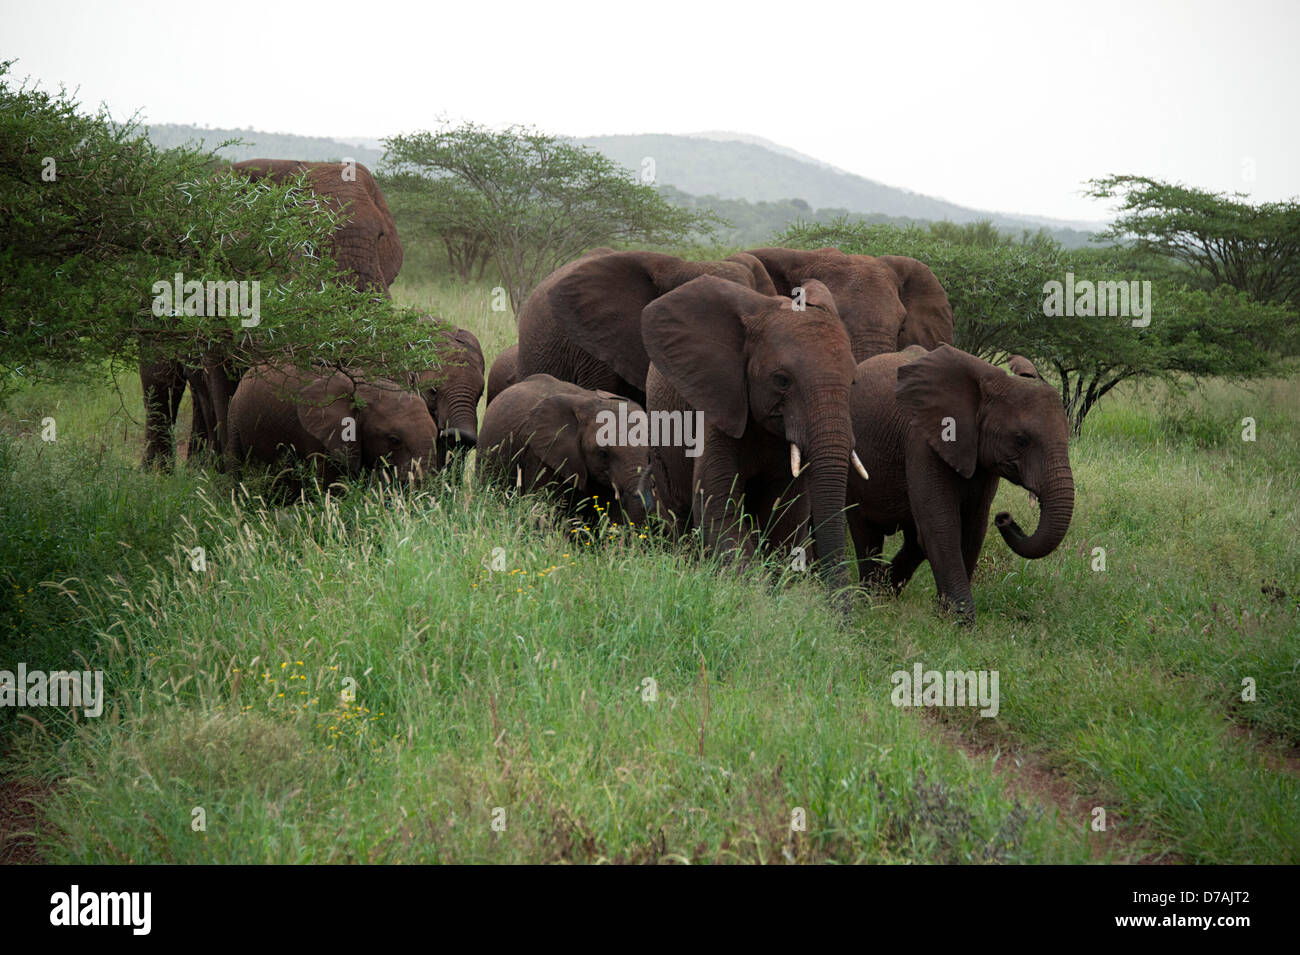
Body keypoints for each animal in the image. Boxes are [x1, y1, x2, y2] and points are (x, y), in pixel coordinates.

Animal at [140, 159, 402, 469]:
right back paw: (159, 472)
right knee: (161, 380)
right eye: (307, 235)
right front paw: (230, 471)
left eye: (380, 236)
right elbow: (221, 374)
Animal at [642, 276, 865, 604]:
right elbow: (720, 511)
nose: (842, 614)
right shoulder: (720, 402)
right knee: (678, 514)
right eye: (782, 380)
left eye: (852, 382)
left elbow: (785, 518)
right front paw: (754, 596)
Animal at [846, 344, 1075, 623]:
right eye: (1021, 440)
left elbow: (973, 527)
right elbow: (941, 526)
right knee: (867, 533)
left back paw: (884, 592)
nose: (1004, 518)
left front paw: (946, 618)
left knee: (913, 539)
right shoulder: (923, 442)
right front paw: (960, 622)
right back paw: (870, 598)